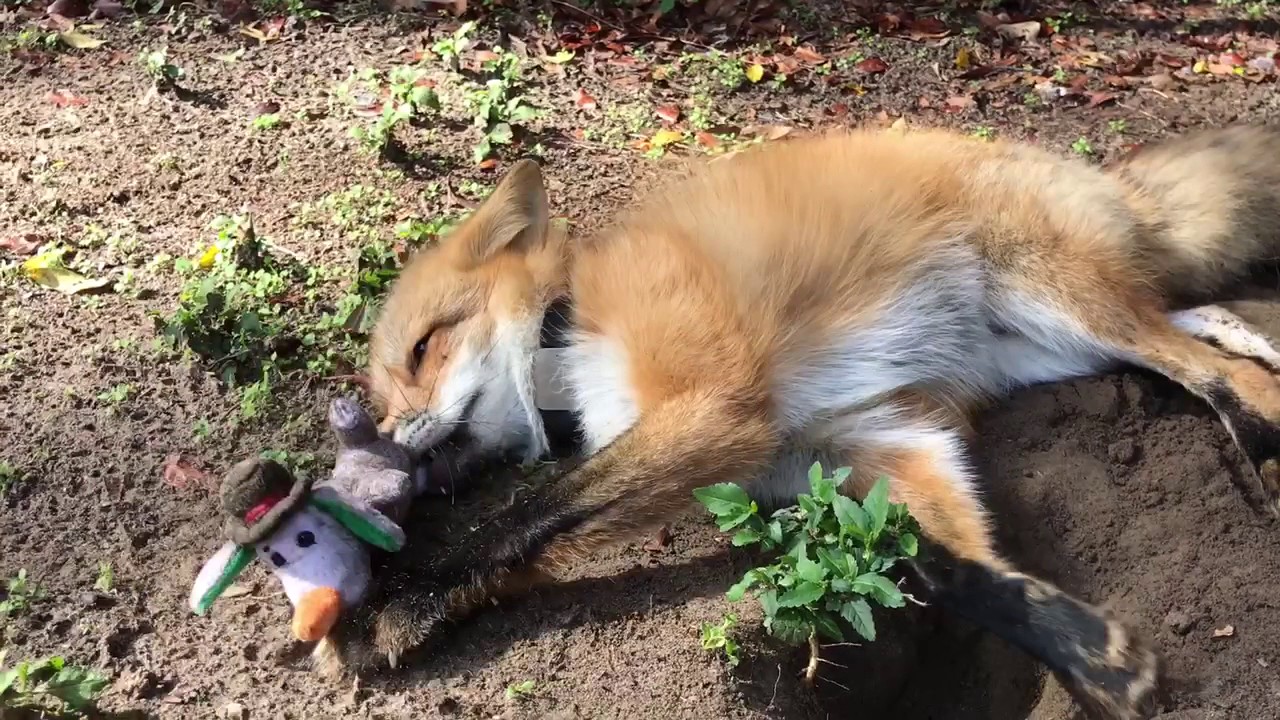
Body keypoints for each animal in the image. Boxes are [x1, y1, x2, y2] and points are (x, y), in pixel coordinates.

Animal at [321, 123, 1280, 719]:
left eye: (421, 352)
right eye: (389, 392)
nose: (388, 441)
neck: (573, 321)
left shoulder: (719, 409)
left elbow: (528, 517)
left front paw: (396, 604)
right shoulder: (873, 445)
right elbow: (951, 574)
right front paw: (1089, 654)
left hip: (1057, 299)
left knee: (1213, 369)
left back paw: (1262, 451)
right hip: (1056, 349)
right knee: (1201, 326)